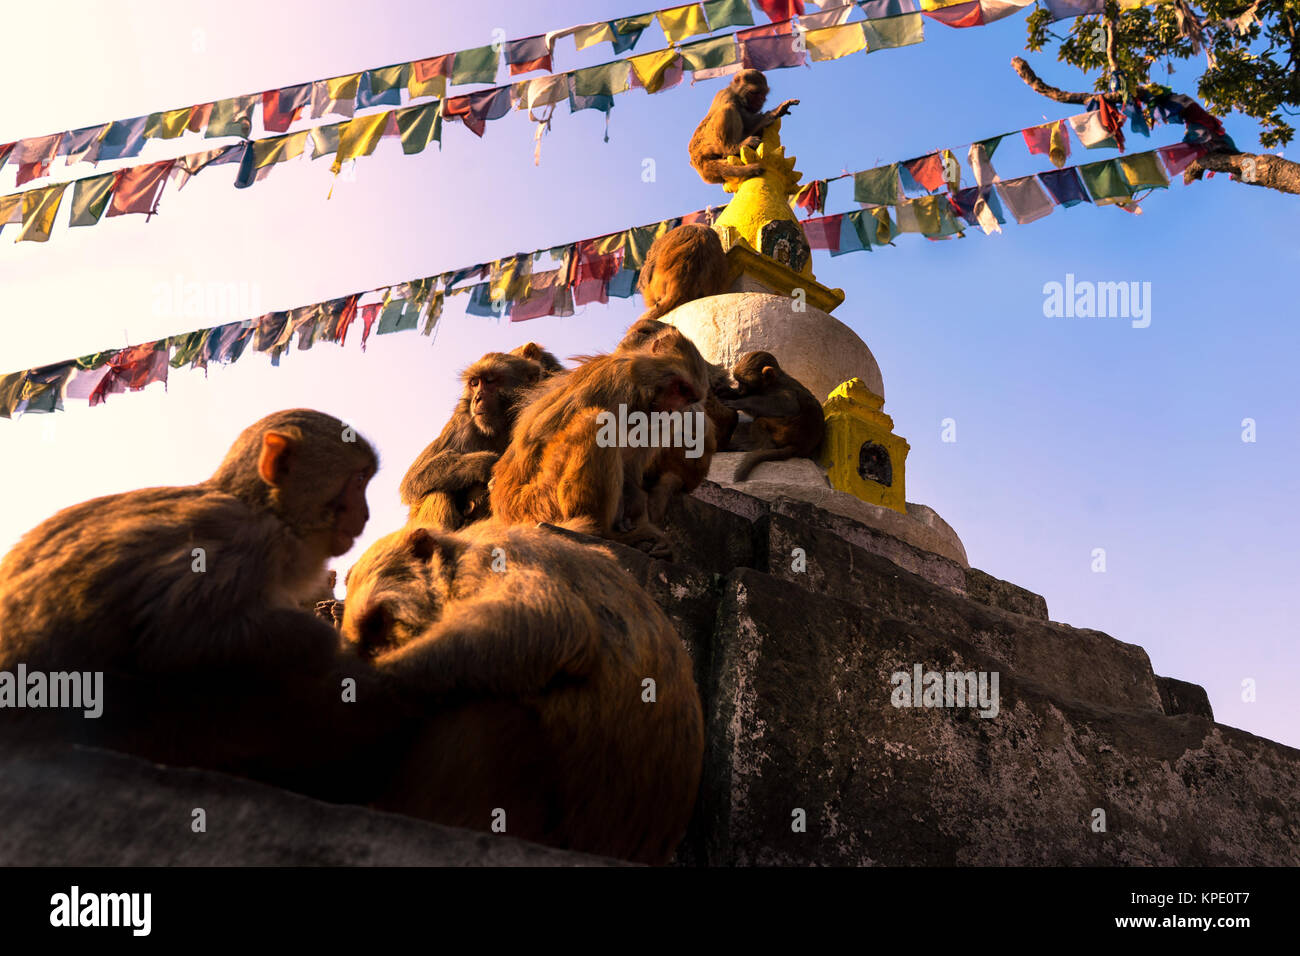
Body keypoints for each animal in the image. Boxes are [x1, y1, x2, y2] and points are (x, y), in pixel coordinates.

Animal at [0, 409, 409, 801]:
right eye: (359, 480)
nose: (366, 514)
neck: (263, 509)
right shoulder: (246, 541)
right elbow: (175, 636)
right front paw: (324, 638)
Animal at [341, 520, 704, 865]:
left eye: (378, 623)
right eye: (363, 637)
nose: (370, 654)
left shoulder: (489, 560)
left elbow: (546, 620)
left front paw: (373, 688)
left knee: (486, 710)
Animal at [399, 351, 550, 530]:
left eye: (490, 380)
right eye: (475, 383)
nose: (477, 398)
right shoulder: (461, 423)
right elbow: (412, 480)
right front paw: (485, 463)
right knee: (437, 490)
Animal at [490, 328, 710, 559]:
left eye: (689, 397)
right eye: (681, 388)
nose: (672, 410)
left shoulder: (664, 423)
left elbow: (631, 469)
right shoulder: (615, 381)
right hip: (537, 501)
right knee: (596, 421)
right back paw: (599, 529)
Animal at [719, 351, 825, 482]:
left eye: (744, 383)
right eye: (738, 382)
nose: (739, 388)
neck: (771, 384)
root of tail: (799, 446)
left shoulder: (783, 390)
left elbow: (788, 406)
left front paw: (739, 402)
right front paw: (729, 392)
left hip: (783, 431)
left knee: (760, 421)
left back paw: (763, 446)